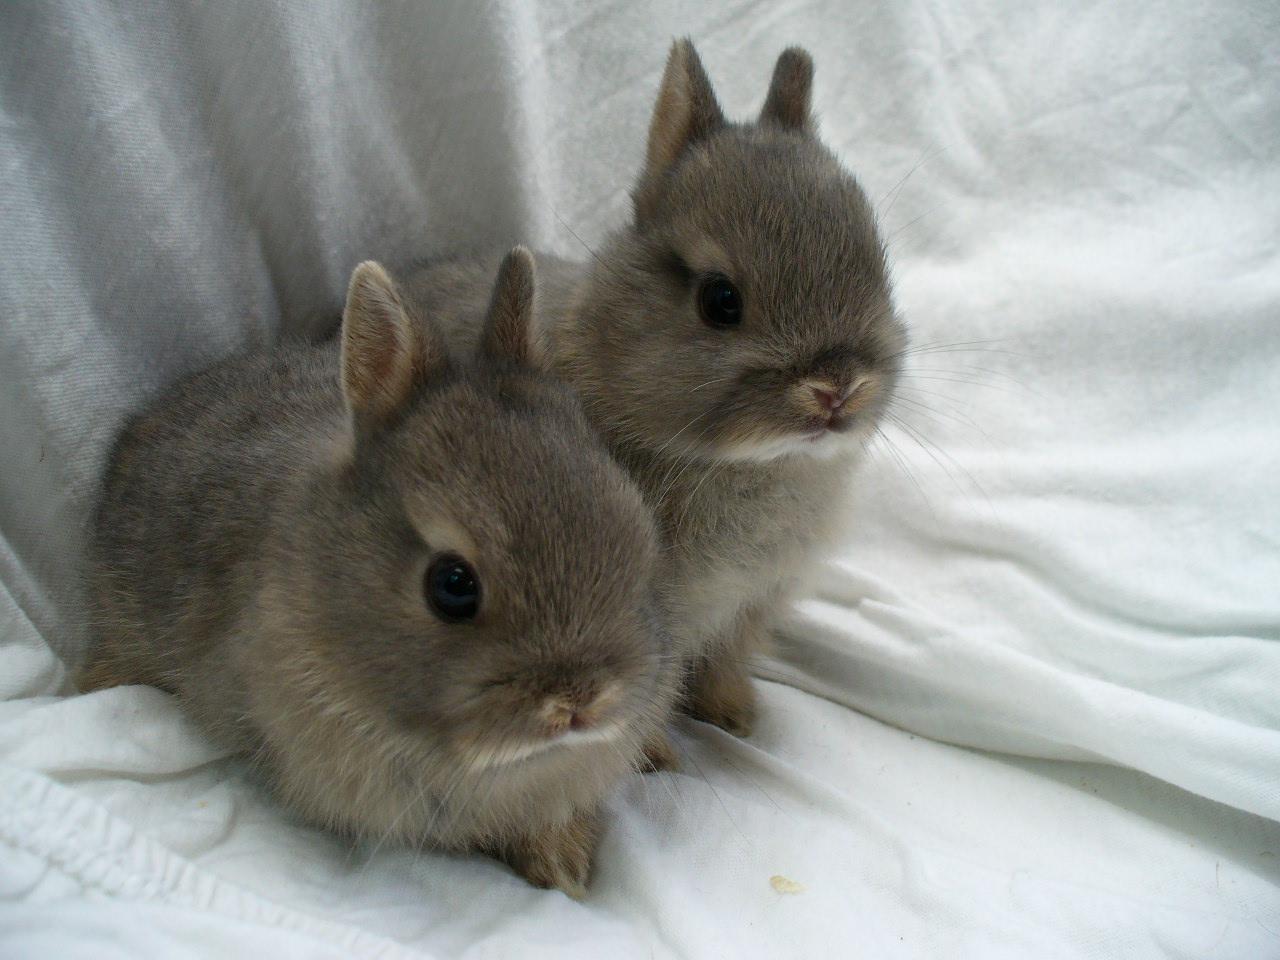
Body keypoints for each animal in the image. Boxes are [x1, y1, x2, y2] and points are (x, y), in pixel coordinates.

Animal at [405, 41, 907, 737]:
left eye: (879, 264)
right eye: (720, 300)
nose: (837, 390)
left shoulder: (749, 608)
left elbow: (723, 660)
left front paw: (734, 717)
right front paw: (664, 754)